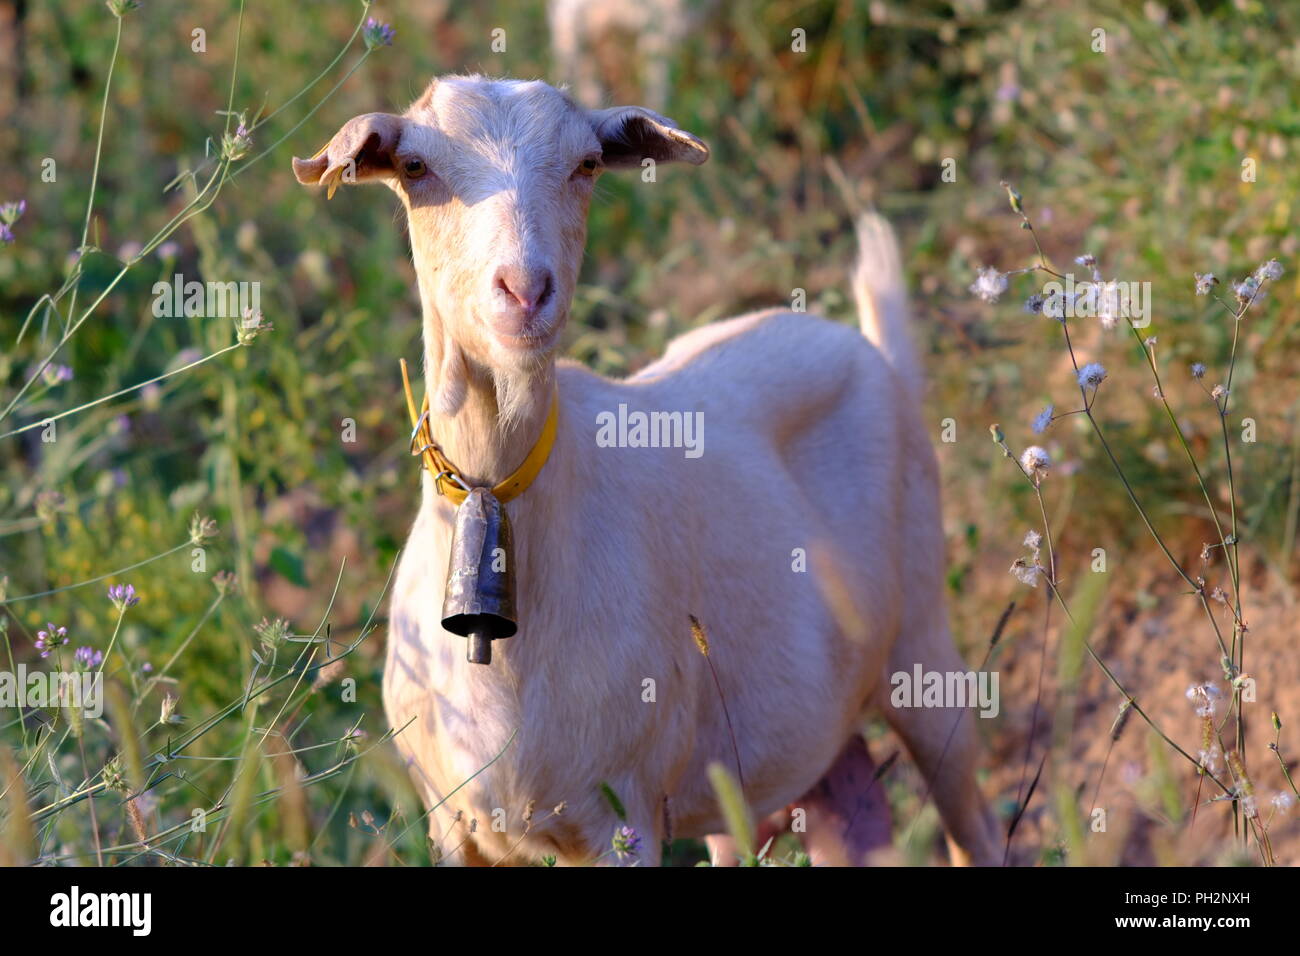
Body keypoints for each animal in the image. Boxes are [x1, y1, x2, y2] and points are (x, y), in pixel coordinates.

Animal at [293, 75, 1000, 866]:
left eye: (588, 164)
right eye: (416, 168)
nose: (525, 290)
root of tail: (876, 353)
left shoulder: (623, 810)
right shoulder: (454, 824)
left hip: (924, 650)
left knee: (975, 824)